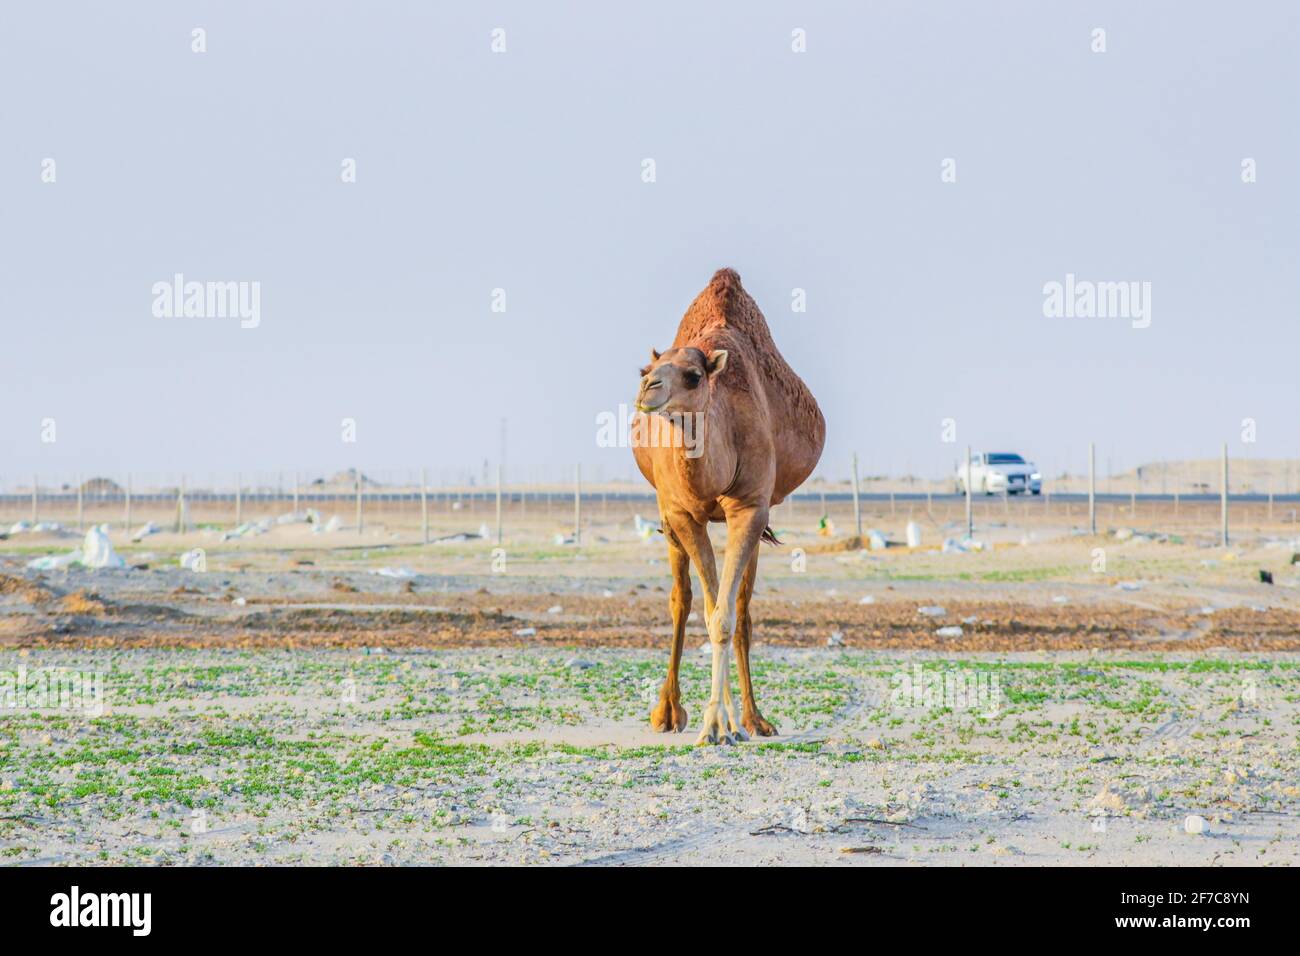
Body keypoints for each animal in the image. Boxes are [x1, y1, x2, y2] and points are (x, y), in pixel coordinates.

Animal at [632, 269, 826, 744]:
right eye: (647, 369)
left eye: (692, 376)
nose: (647, 387)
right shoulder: (682, 512)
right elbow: (704, 609)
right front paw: (714, 723)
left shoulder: (750, 507)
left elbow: (724, 615)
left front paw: (723, 723)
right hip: (667, 515)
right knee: (682, 600)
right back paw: (667, 712)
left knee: (741, 608)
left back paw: (754, 719)